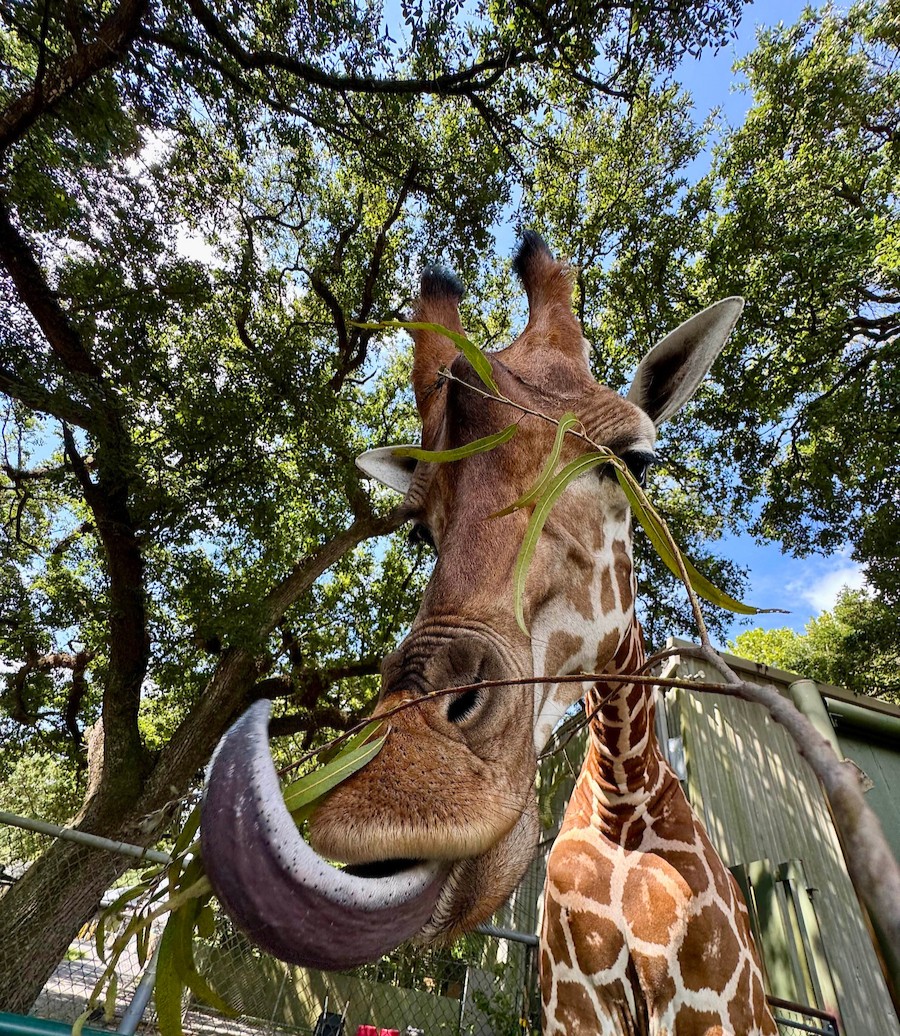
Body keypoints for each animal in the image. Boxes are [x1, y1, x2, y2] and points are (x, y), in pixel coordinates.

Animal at [201, 232, 778, 1035]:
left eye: (633, 461)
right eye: (420, 526)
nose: (404, 786)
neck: (623, 802)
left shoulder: (710, 1006)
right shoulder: (573, 1004)